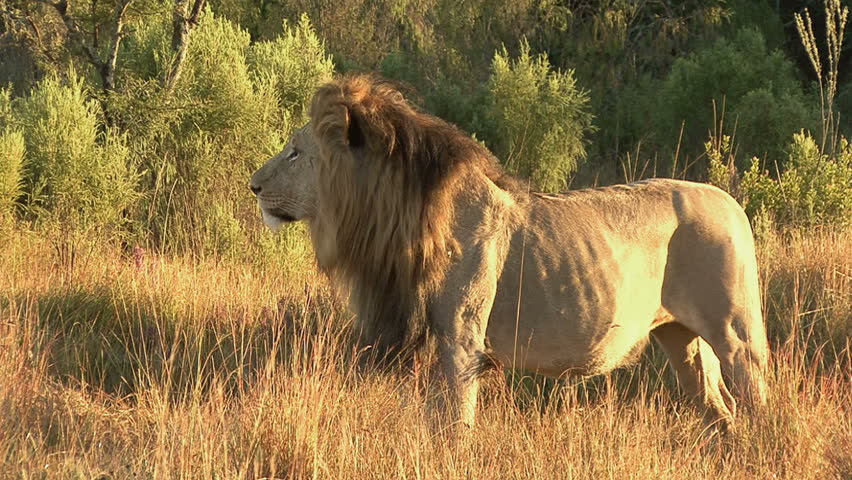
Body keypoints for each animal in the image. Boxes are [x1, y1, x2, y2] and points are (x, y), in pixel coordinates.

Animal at [250, 75, 770, 431]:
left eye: (294, 152)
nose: (252, 185)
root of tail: (730, 202)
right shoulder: (421, 339)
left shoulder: (462, 339)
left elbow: (456, 426)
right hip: (680, 337)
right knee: (719, 410)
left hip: (737, 334)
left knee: (757, 399)